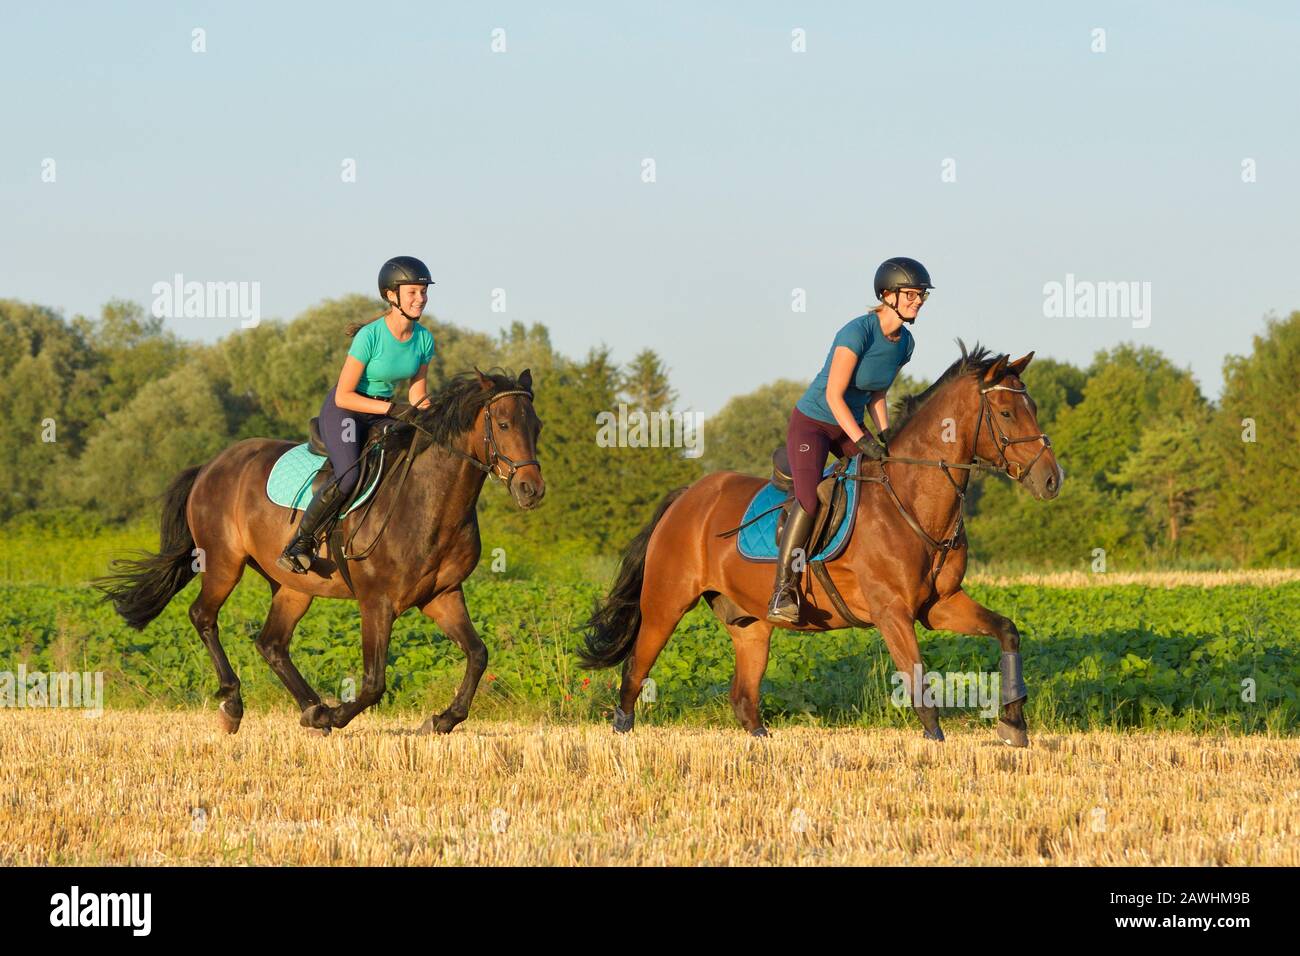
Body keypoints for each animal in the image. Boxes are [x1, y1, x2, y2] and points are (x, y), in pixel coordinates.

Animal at [93, 368, 544, 735]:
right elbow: (374, 683)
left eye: (536, 426)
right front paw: (337, 713)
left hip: (294, 586)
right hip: (223, 562)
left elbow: (478, 654)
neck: (428, 501)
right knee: (203, 616)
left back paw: (310, 708)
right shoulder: (376, 602)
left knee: (271, 643)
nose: (531, 490)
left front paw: (444, 719)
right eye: (504, 423)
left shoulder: (442, 596)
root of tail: (210, 465)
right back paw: (235, 704)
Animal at [579, 344, 1061, 746]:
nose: (1052, 480)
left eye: (1034, 407)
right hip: (665, 604)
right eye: (1006, 413)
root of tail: (687, 496)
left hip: (749, 624)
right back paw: (621, 735)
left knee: (743, 697)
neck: (911, 500)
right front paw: (937, 744)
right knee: (634, 674)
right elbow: (919, 683)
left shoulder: (939, 605)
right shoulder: (892, 613)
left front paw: (1014, 725)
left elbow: (1007, 630)